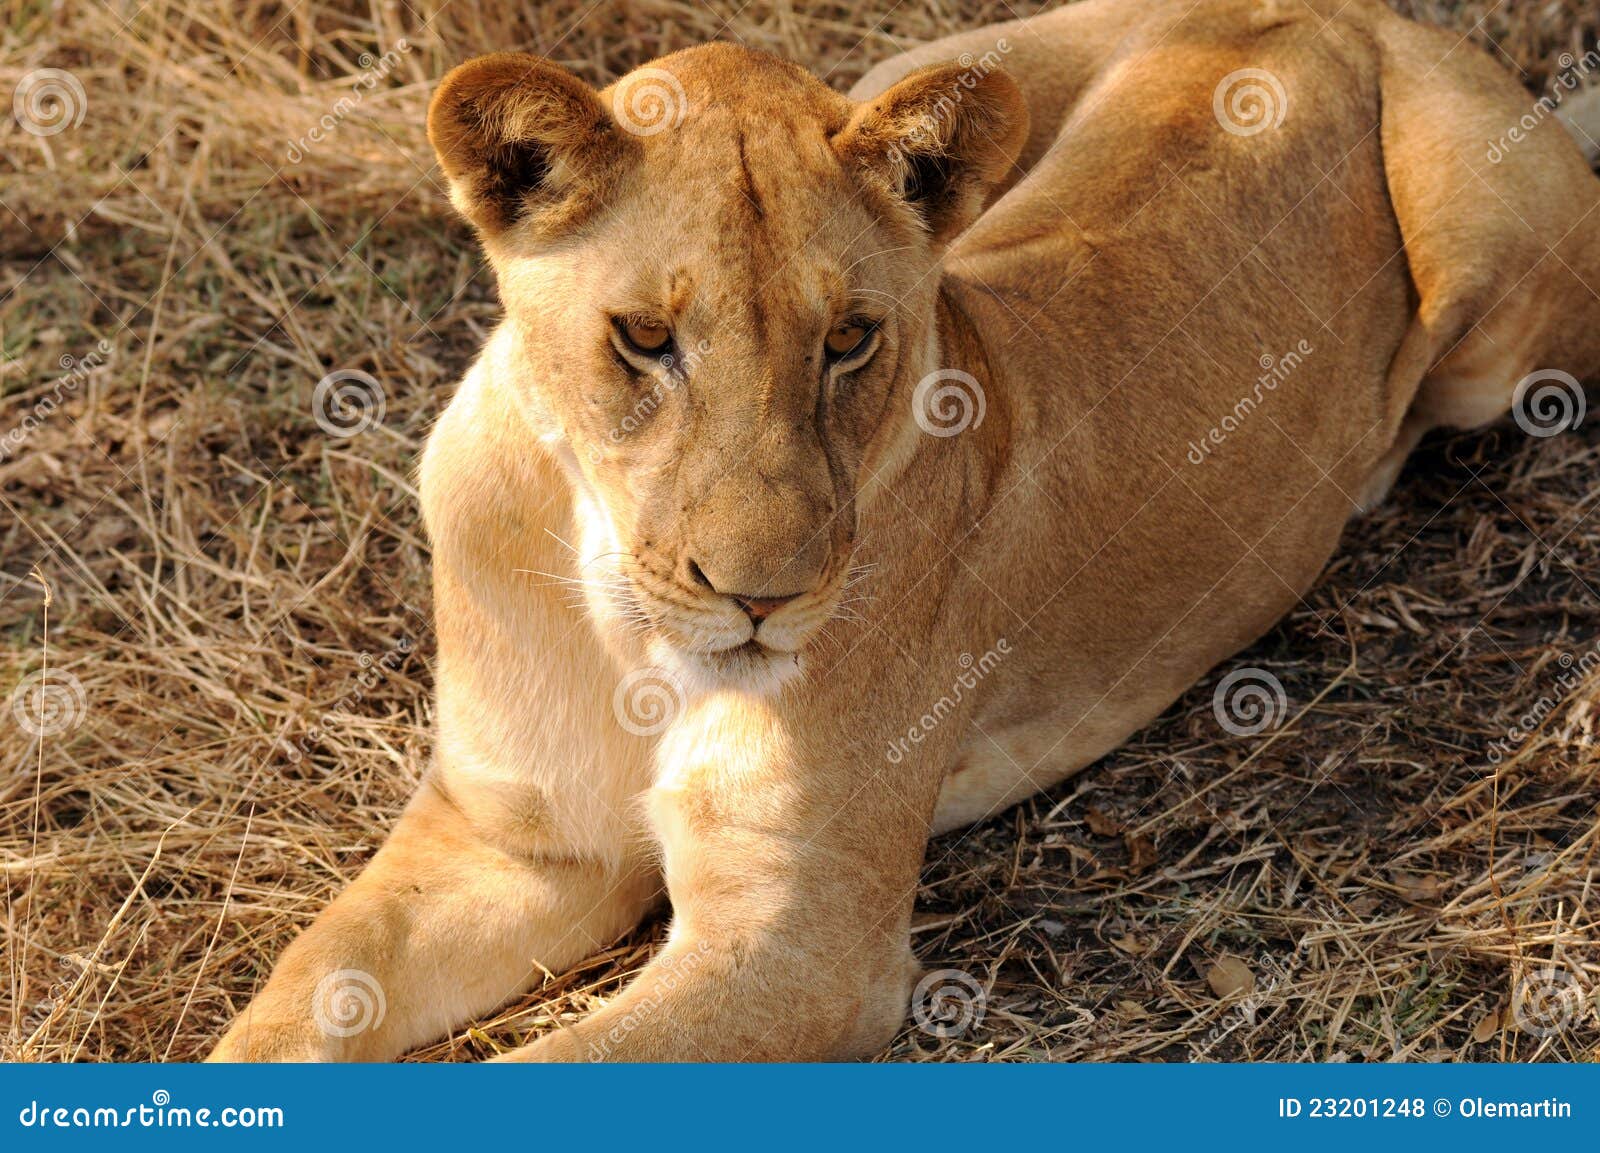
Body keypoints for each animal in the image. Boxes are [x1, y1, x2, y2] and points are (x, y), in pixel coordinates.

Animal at [211, 0, 1600, 1061]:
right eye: (644, 339)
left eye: (849, 340)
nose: (762, 596)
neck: (620, 613)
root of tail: (1331, 16)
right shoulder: (513, 838)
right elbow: (302, 993)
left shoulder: (800, 948)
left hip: (1486, 306)